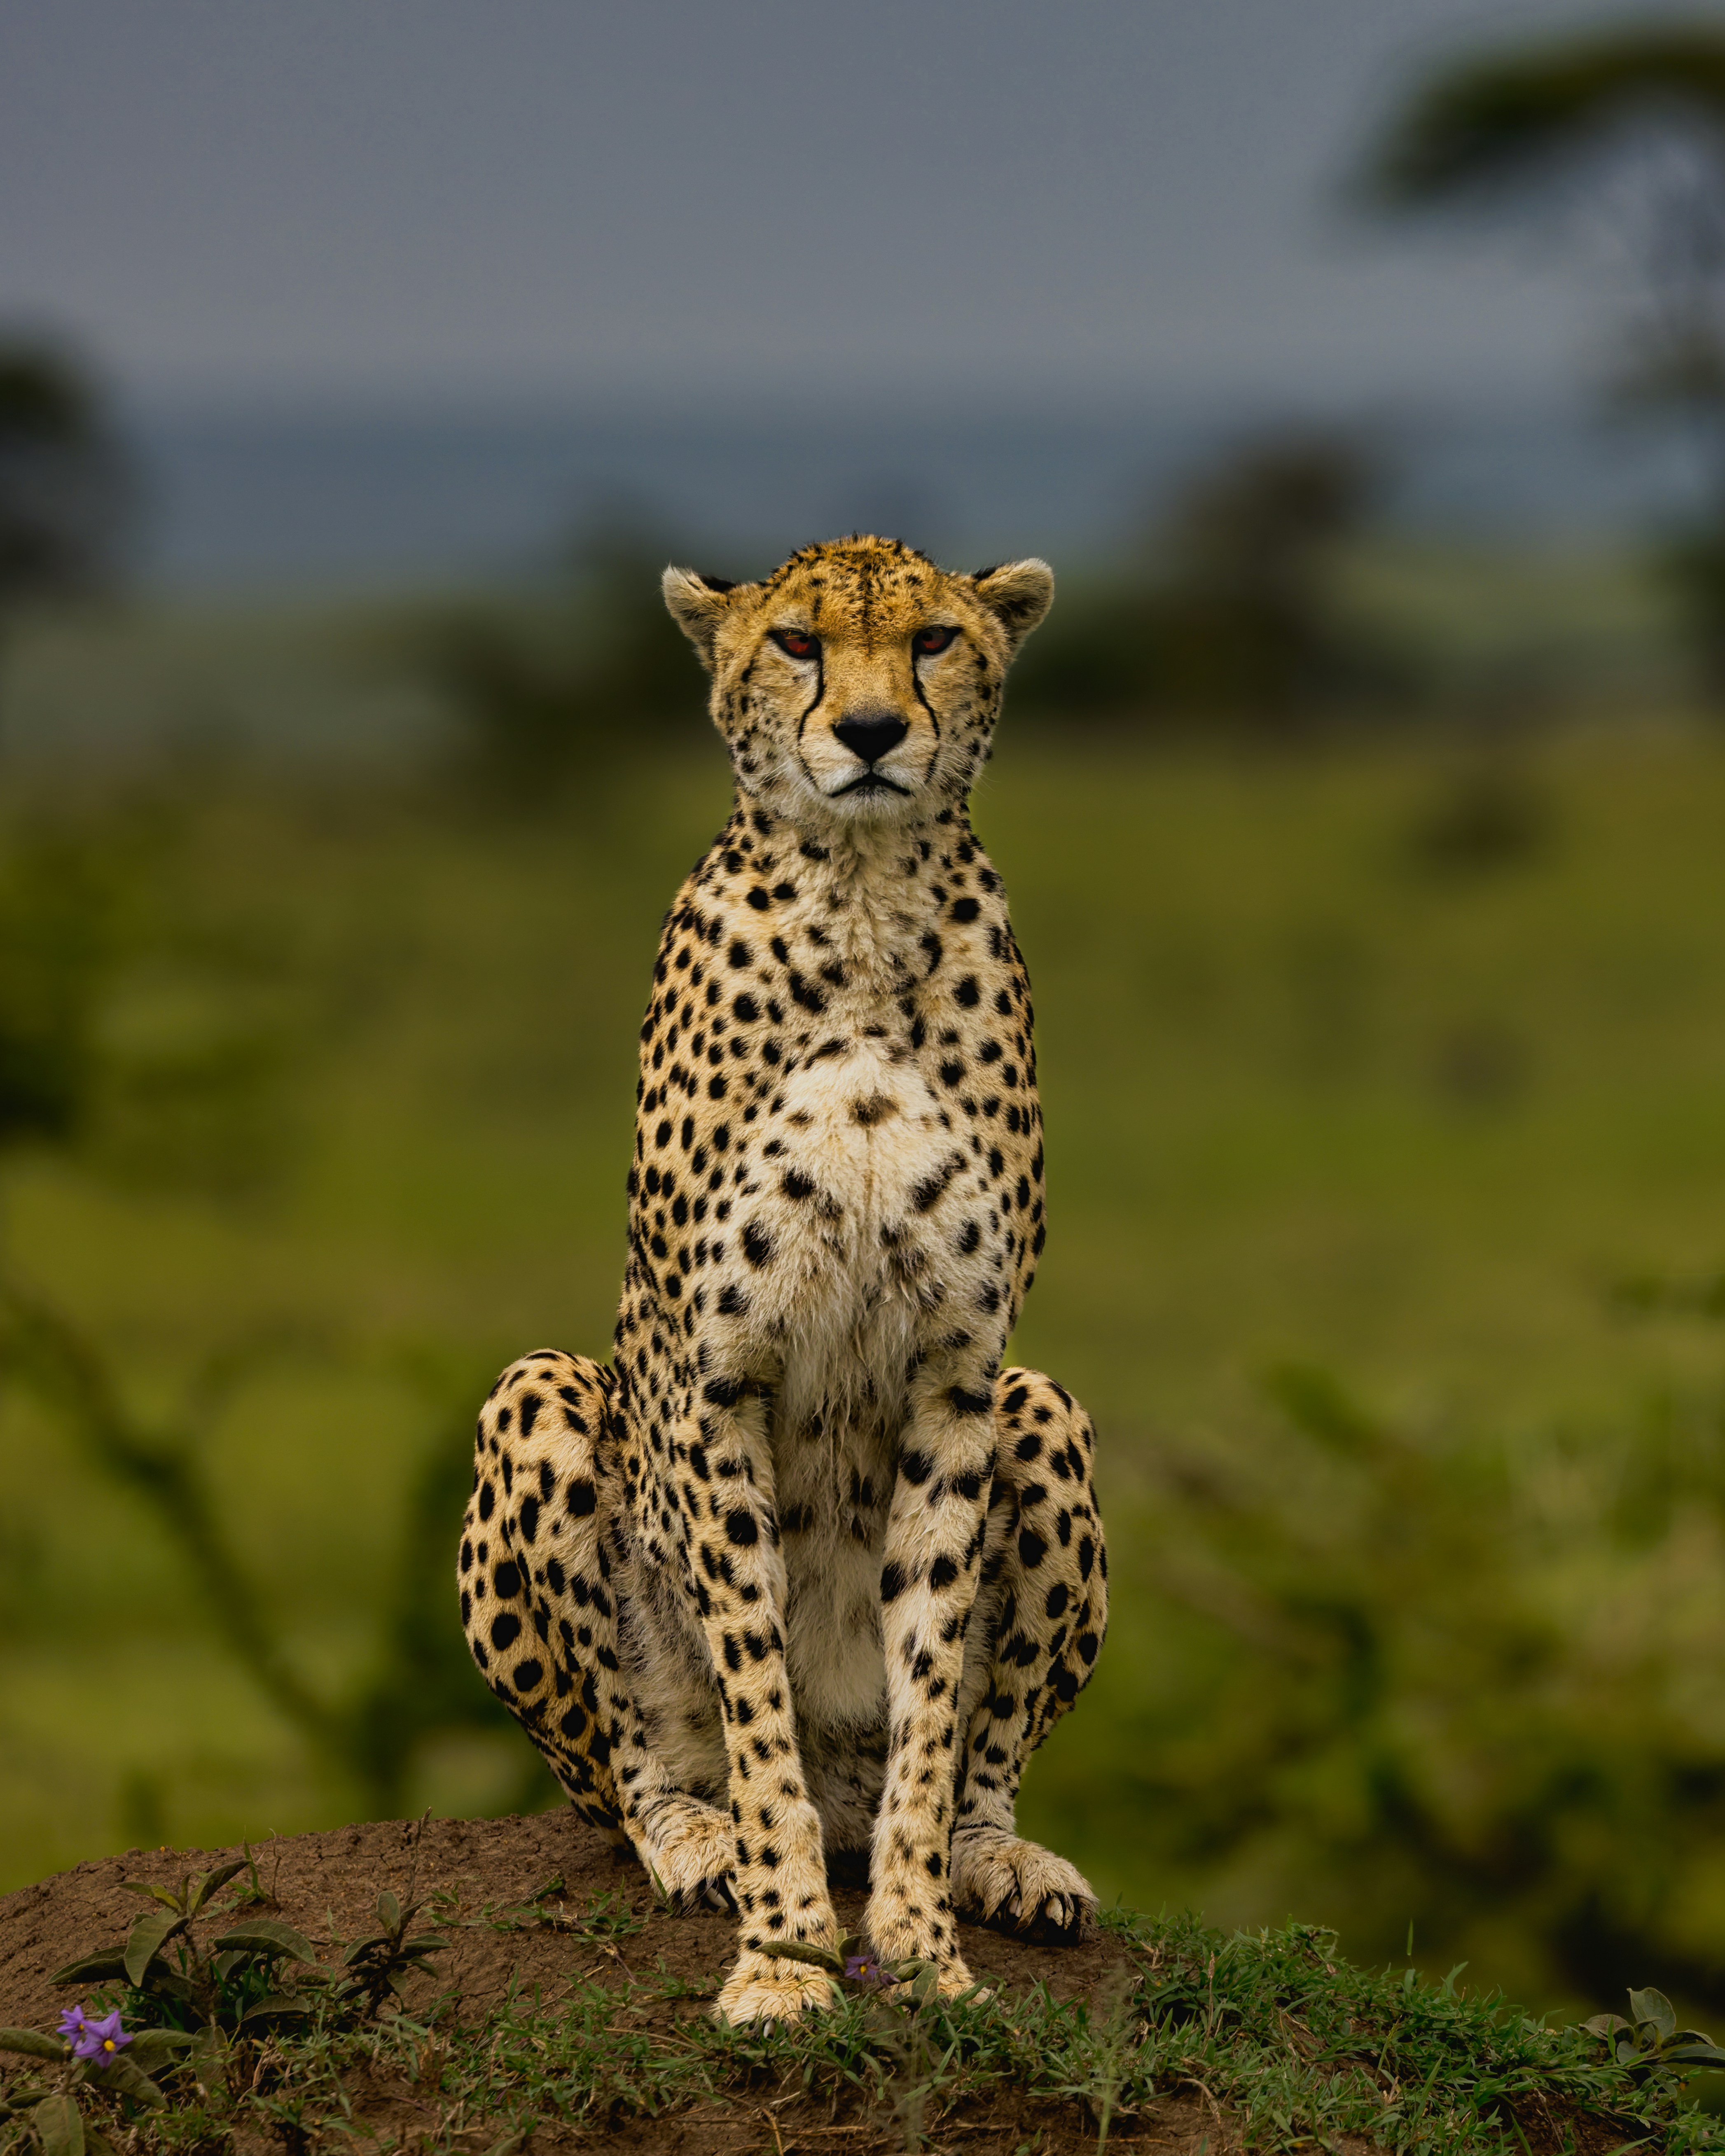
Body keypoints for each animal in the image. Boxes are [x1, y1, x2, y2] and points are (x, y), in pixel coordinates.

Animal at [457, 533, 1108, 2027]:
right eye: (799, 643)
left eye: (933, 641)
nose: (868, 733)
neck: (862, 904)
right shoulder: (719, 1373)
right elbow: (753, 1686)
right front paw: (784, 1958)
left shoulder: (954, 1375)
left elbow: (933, 1678)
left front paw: (918, 1946)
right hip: (541, 1395)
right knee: (631, 1761)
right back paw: (694, 1836)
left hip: (1039, 1406)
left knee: (971, 1757)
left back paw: (999, 1859)